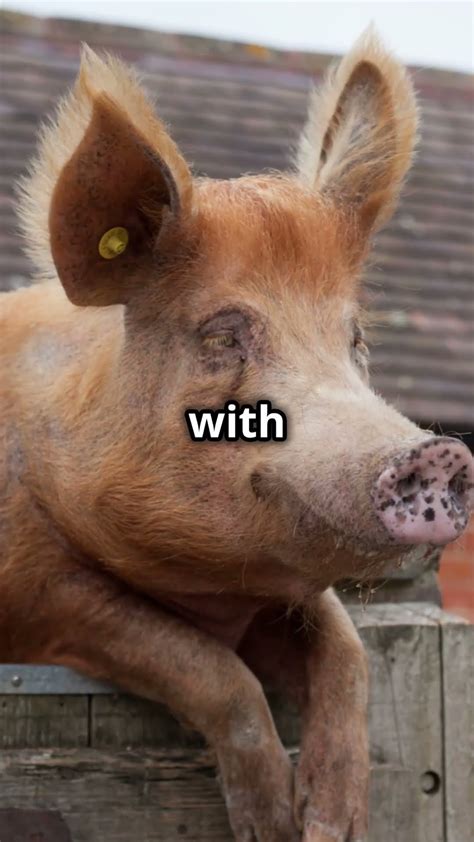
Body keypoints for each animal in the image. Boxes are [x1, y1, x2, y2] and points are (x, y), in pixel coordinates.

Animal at [1, 28, 473, 842]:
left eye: (355, 341)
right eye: (222, 335)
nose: (437, 450)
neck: (212, 589)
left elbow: (345, 648)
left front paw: (332, 823)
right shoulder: (39, 589)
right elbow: (201, 665)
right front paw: (271, 825)